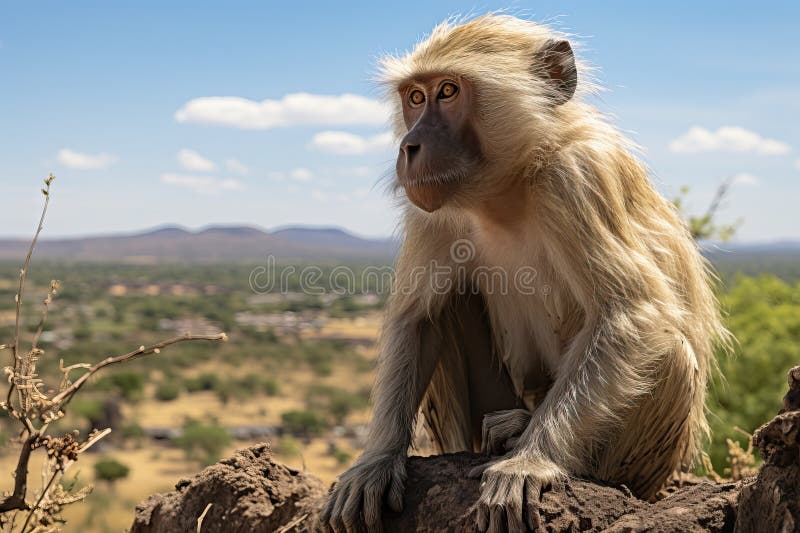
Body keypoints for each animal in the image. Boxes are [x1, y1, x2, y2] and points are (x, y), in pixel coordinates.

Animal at [320, 14, 728, 533]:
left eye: (448, 91)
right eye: (415, 97)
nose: (409, 146)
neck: (507, 186)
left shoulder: (578, 176)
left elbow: (629, 314)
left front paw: (530, 462)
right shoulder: (432, 210)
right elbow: (418, 318)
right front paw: (376, 461)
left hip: (651, 467)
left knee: (670, 352)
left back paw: (529, 437)